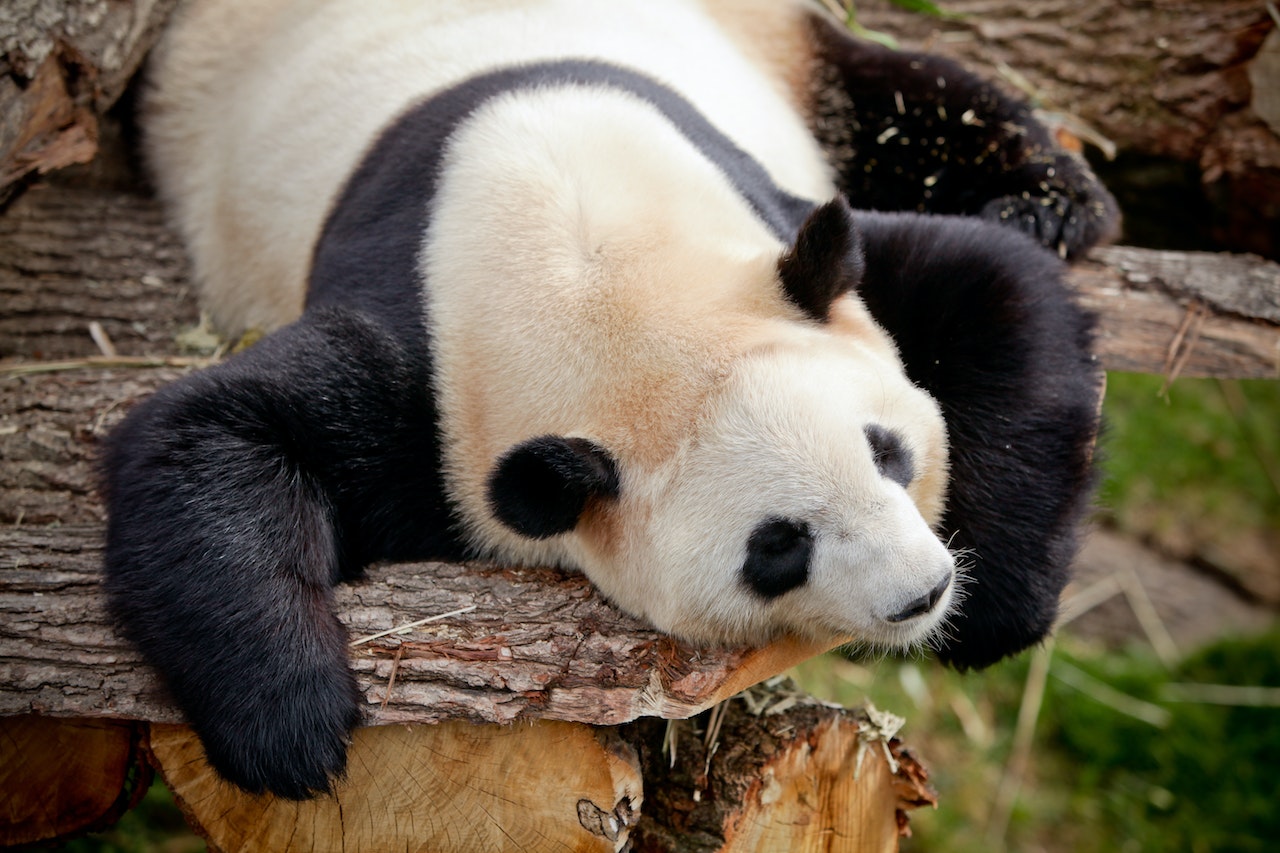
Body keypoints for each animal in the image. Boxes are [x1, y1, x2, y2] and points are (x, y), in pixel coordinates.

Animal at [102, 0, 1116, 799]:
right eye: (778, 546)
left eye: (886, 450)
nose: (921, 593)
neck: (593, 255)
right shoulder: (434, 381)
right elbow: (205, 432)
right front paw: (294, 727)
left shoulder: (772, 232)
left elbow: (992, 281)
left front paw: (995, 608)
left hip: (774, 40)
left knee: (902, 91)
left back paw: (1052, 200)